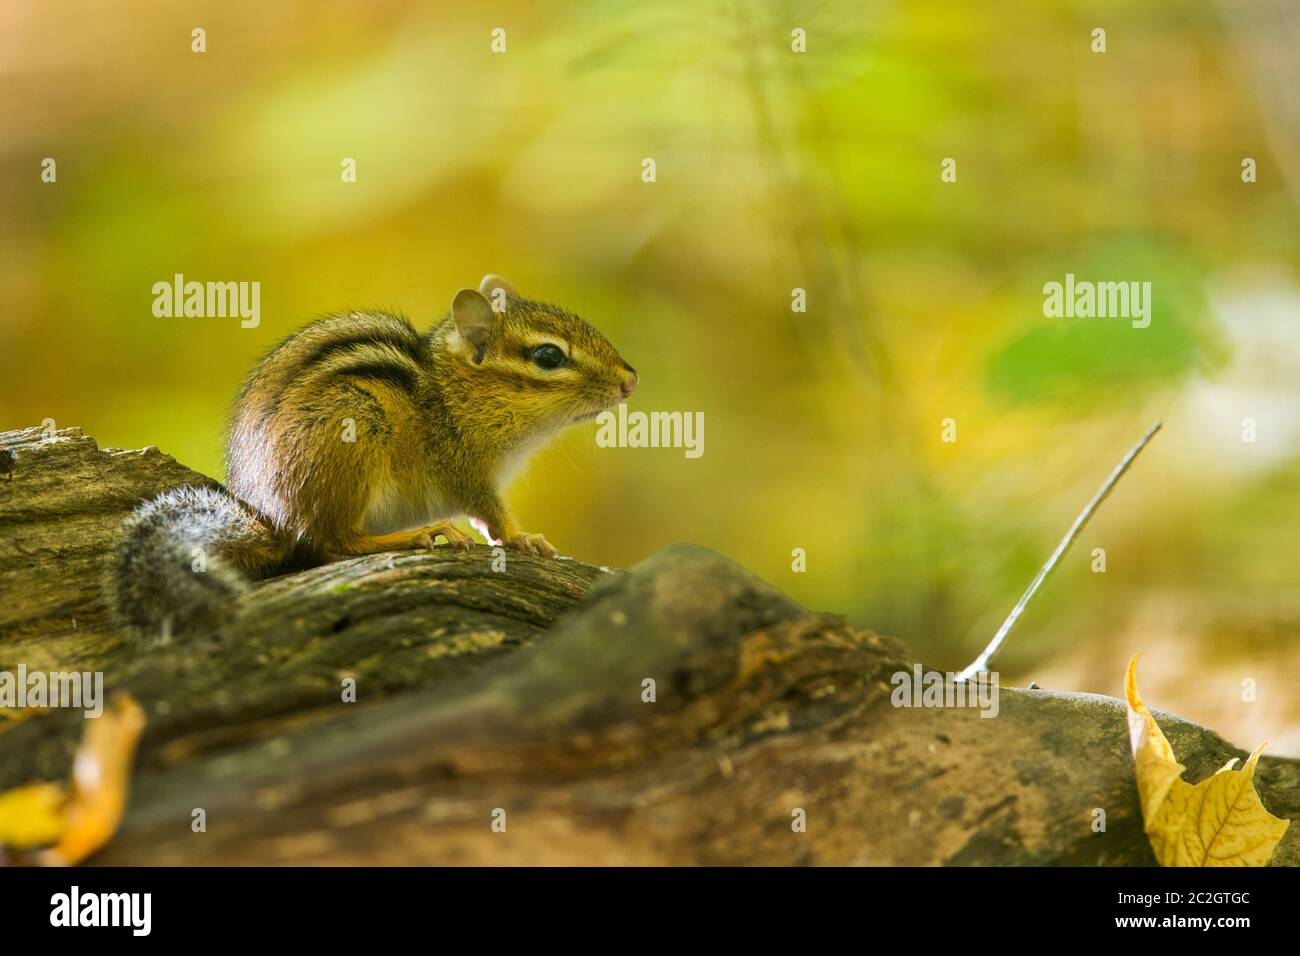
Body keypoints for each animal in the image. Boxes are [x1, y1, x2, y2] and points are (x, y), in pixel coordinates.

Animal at [114, 274, 637, 635]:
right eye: (549, 357)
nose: (630, 380)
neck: (455, 393)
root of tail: (269, 515)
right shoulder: (466, 469)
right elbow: (492, 515)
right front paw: (523, 537)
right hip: (354, 431)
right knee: (332, 543)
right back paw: (419, 534)